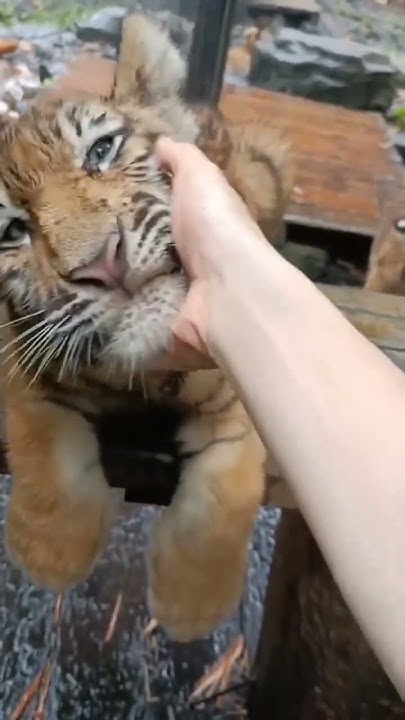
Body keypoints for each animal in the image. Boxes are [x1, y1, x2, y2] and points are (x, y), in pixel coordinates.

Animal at [0, 13, 292, 642]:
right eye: (11, 231)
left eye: (101, 150)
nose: (102, 262)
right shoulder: (24, 373)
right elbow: (48, 460)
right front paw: (49, 557)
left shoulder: (239, 394)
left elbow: (224, 497)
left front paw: (192, 609)